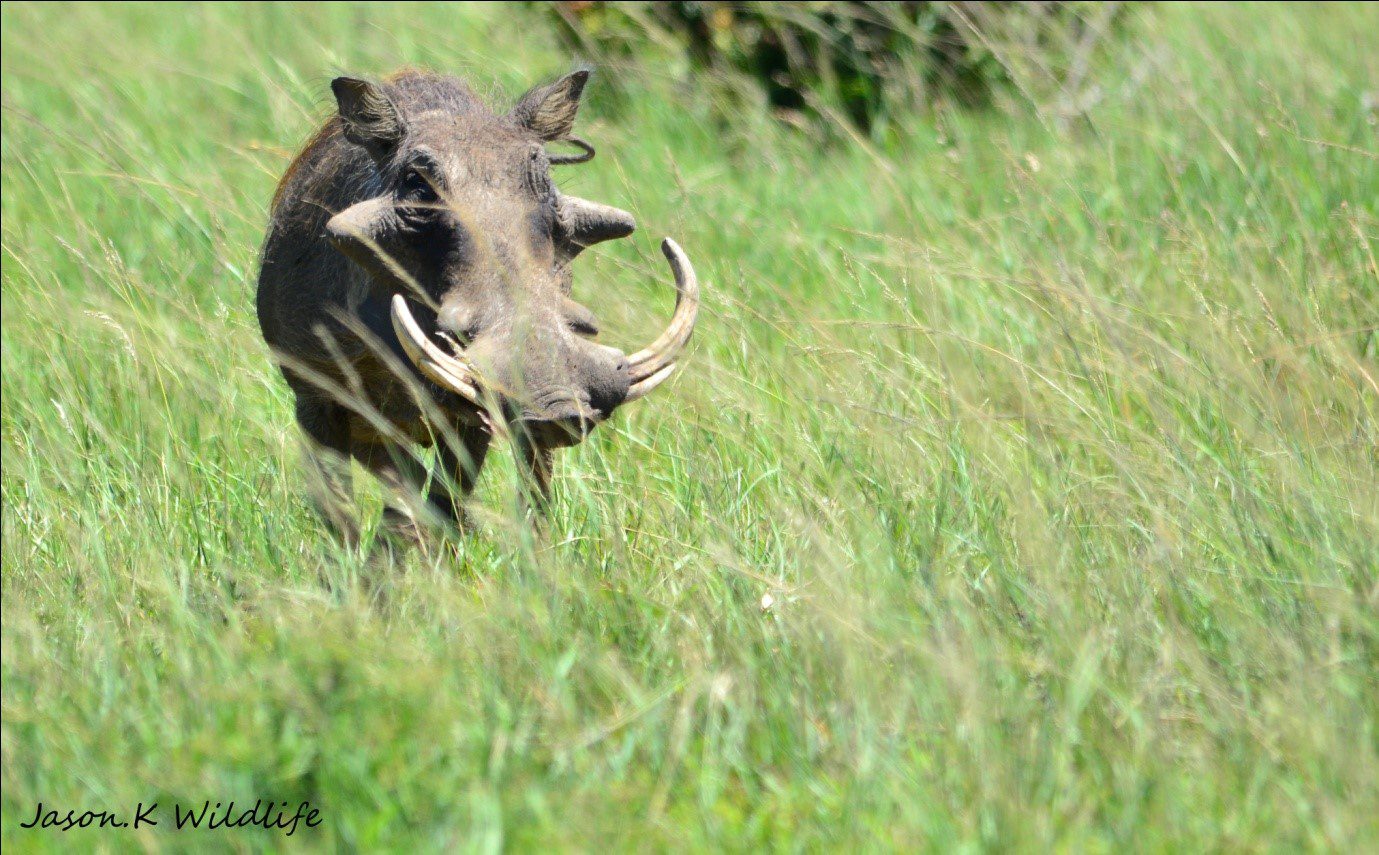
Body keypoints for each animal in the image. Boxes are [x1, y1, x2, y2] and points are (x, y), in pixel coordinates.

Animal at [256, 69, 698, 546]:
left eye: (544, 180)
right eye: (417, 184)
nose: (558, 402)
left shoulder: (469, 422)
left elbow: (444, 506)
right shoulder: (315, 396)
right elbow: (342, 514)